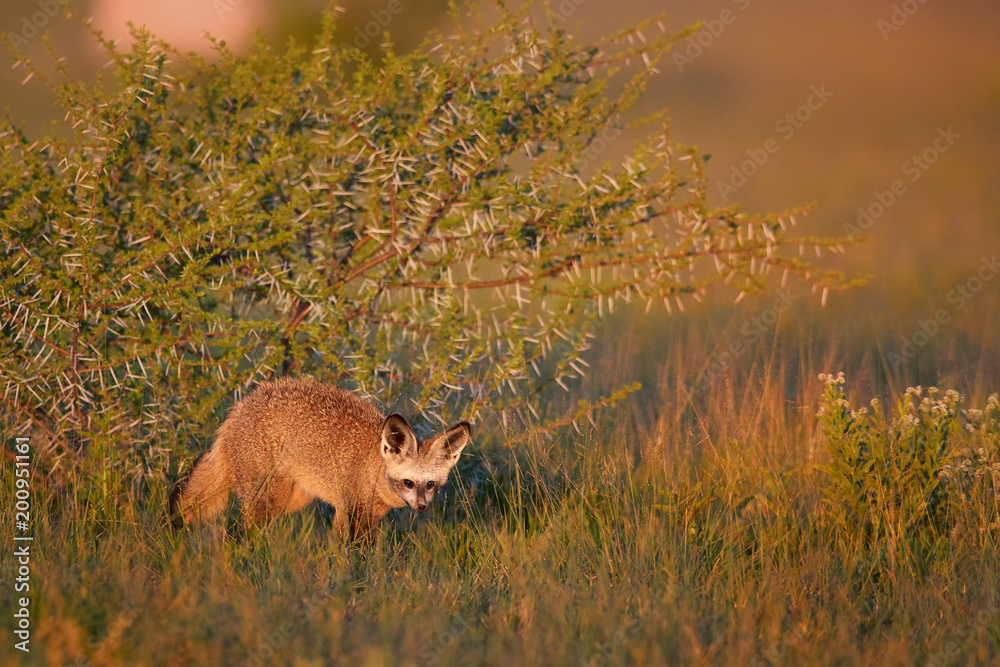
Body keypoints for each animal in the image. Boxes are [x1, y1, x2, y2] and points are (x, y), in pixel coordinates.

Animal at [169, 377, 471, 541]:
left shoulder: (359, 514)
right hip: (268, 500)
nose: (421, 506)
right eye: (408, 482)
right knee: (242, 536)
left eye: (430, 485)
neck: (371, 466)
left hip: (293, 500)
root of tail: (240, 408)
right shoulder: (354, 511)